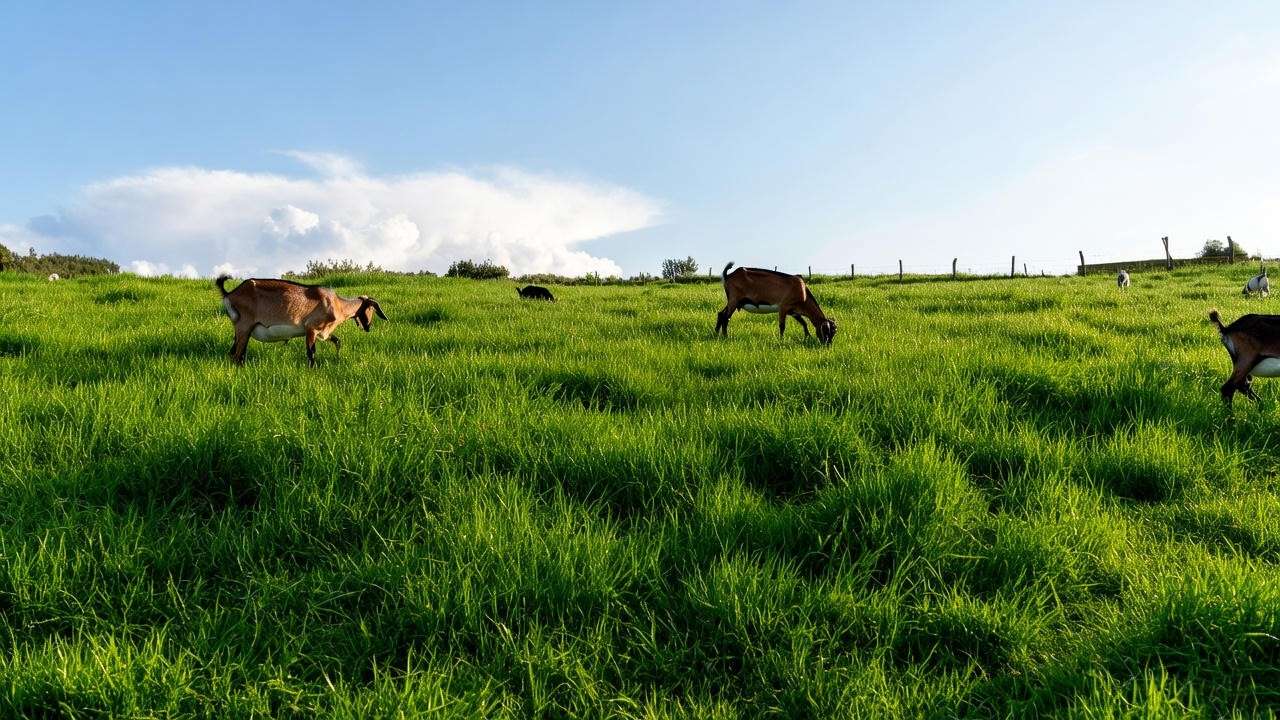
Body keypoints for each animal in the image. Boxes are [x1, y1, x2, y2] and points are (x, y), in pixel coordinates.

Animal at [216, 274, 385, 367]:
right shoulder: (311, 328)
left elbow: (337, 341)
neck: (337, 304)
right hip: (244, 326)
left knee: (234, 353)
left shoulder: (323, 332)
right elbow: (311, 353)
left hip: (241, 330)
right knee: (237, 354)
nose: (368, 326)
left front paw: (337, 358)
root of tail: (230, 293)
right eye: (371, 309)